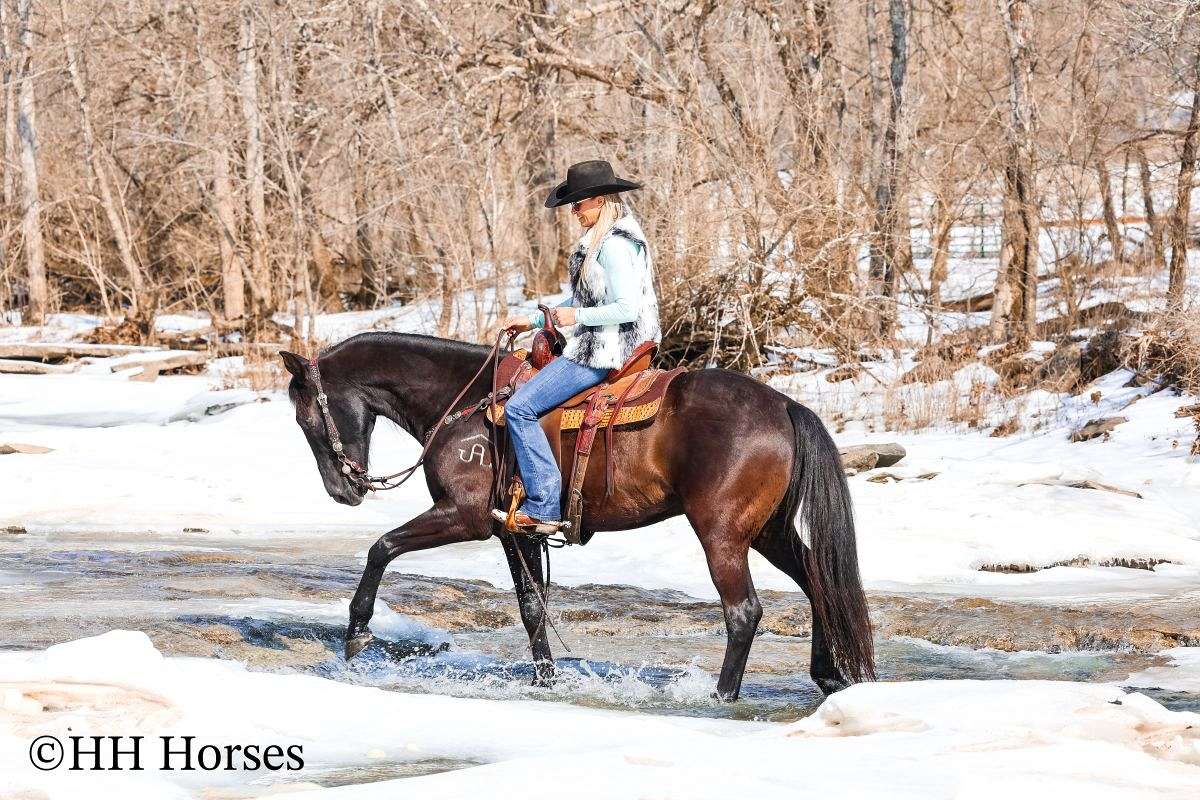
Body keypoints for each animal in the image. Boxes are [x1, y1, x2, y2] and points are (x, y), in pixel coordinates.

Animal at [279, 331, 874, 700]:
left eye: (306, 418)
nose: (343, 491)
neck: (466, 405)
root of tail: (784, 405)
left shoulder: (463, 516)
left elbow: (382, 546)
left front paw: (357, 632)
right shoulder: (511, 532)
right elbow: (531, 608)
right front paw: (545, 681)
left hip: (722, 533)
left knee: (743, 611)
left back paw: (723, 695)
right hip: (768, 531)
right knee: (819, 581)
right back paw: (830, 676)